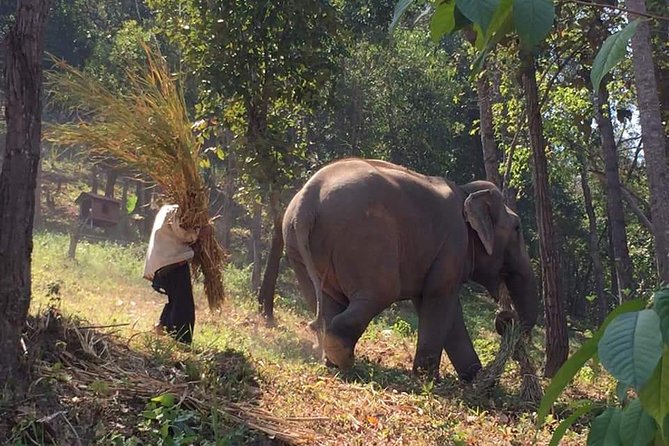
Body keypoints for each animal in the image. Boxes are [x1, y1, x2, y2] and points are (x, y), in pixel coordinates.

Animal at [282, 158, 538, 381]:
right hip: (364, 239)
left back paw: (331, 362)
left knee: (327, 301)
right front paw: (429, 379)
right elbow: (440, 299)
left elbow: (437, 305)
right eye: (517, 228)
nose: (505, 319)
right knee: (381, 292)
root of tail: (308, 200)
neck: (466, 191)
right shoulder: (453, 244)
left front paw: (472, 377)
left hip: (298, 248)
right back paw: (343, 359)